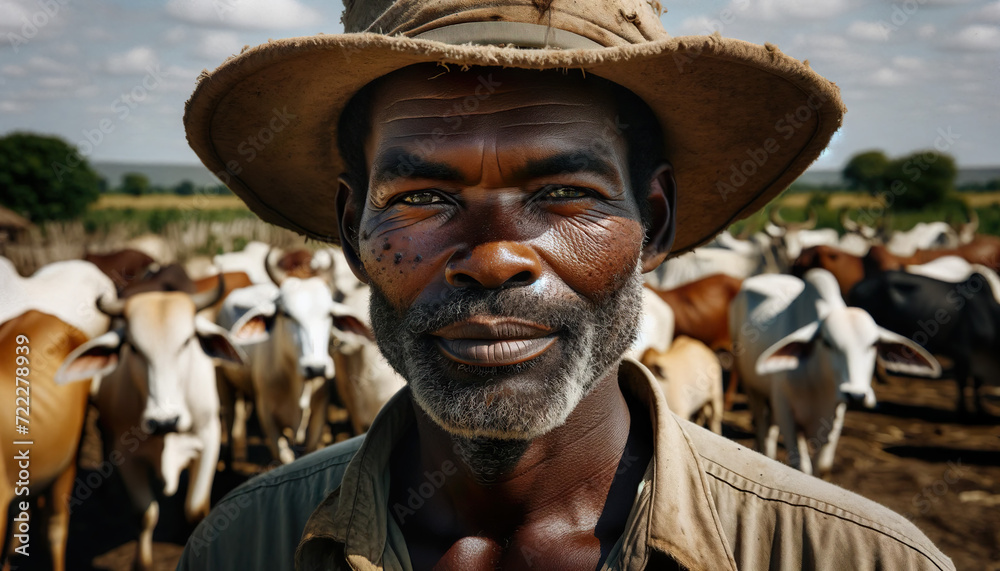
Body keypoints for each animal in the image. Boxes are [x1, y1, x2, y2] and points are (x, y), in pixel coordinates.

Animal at [55, 283, 241, 571]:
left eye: (187, 341)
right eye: (133, 347)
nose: (165, 420)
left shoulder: (209, 441)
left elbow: (195, 509)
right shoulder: (126, 457)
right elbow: (145, 514)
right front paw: (142, 562)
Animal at [730, 268, 939, 476]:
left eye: (873, 344)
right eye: (827, 342)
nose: (856, 395)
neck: (817, 380)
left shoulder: (834, 415)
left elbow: (822, 466)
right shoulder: (785, 411)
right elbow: (800, 466)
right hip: (753, 389)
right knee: (762, 426)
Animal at [849, 270, 1000, 414]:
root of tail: (857, 286)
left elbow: (977, 384)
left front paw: (980, 408)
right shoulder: (962, 352)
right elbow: (962, 382)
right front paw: (962, 408)